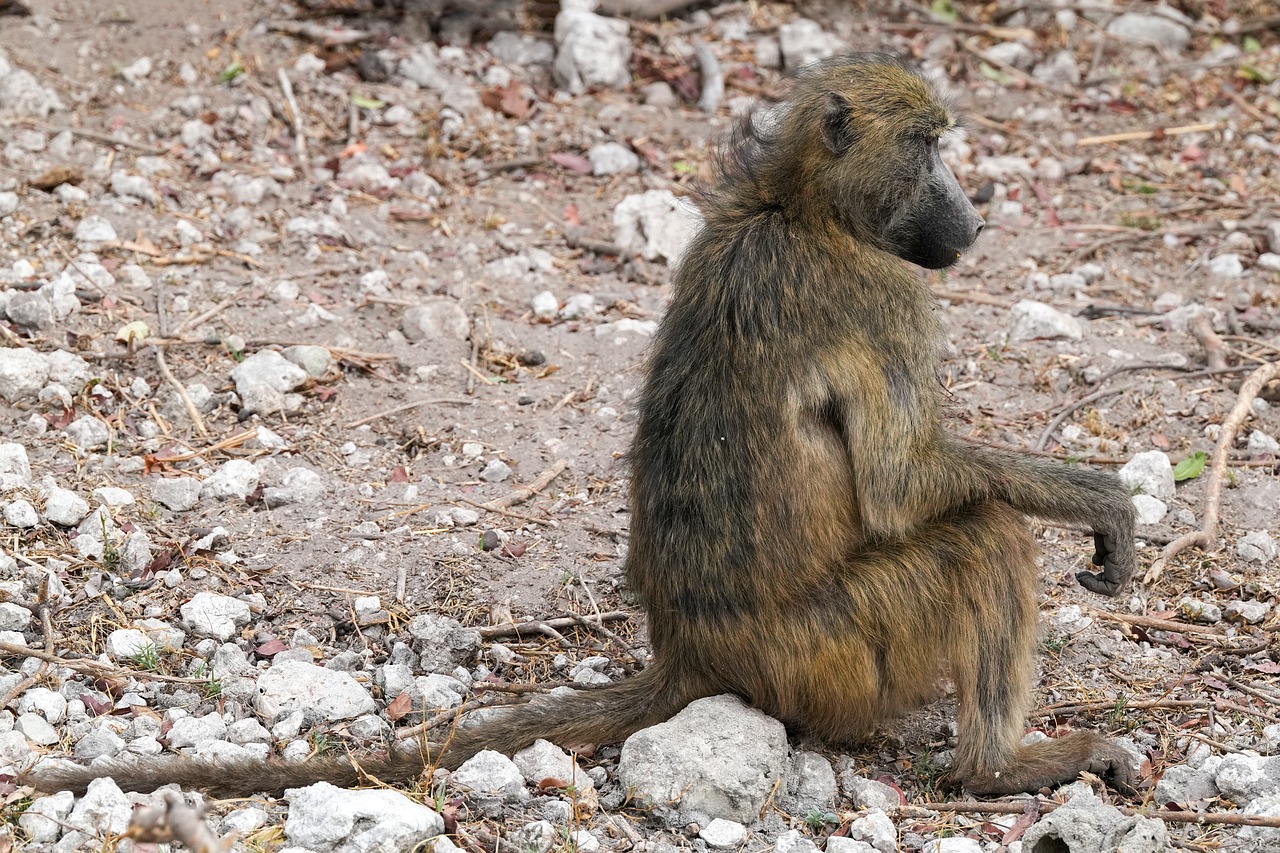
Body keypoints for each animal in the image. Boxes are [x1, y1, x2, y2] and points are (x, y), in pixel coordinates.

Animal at [24, 53, 1137, 800]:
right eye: (927, 146)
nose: (972, 216)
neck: (798, 205)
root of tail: (694, 653)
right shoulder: (887, 297)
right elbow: (904, 482)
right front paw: (1105, 503)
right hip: (836, 651)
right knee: (981, 538)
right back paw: (996, 768)